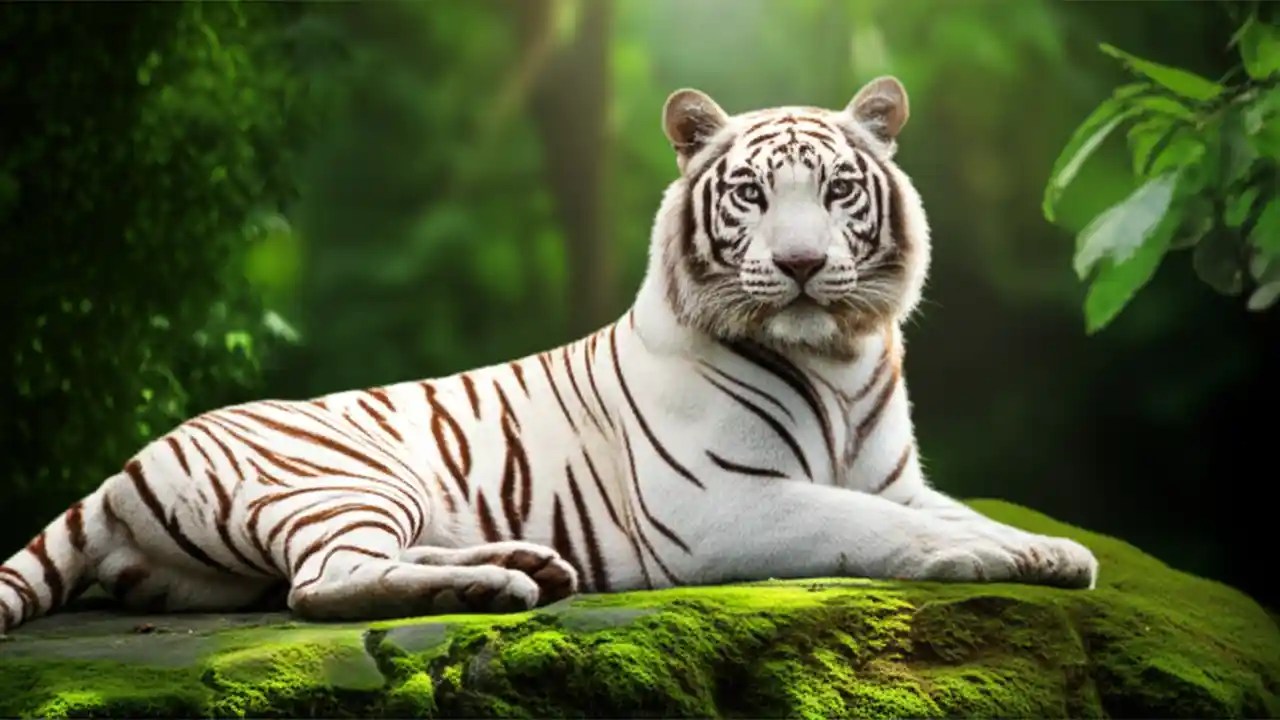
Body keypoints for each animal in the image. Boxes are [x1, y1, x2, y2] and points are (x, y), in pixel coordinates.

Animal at [0, 76, 1099, 636]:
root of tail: (123, 466)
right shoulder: (726, 505)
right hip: (348, 479)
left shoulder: (897, 478)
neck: (834, 359)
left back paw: (521, 565)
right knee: (322, 583)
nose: (797, 265)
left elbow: (945, 511)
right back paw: (488, 589)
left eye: (835, 191)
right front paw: (1005, 557)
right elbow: (875, 528)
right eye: (750, 193)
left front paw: (1051, 550)